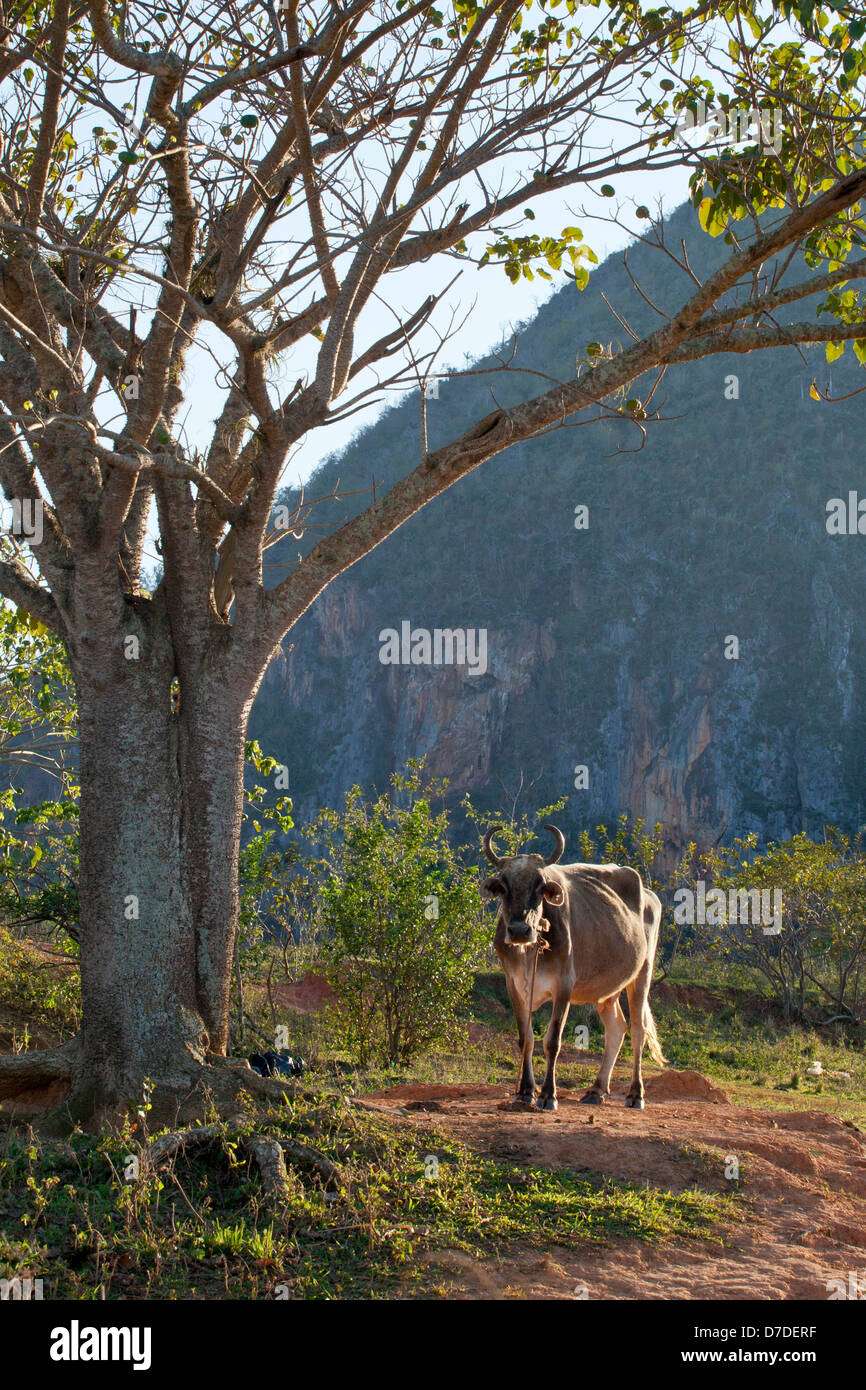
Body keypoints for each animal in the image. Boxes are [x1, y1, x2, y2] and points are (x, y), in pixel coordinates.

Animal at [482, 824, 666, 1111]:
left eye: (540, 887)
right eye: (503, 887)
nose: (520, 931)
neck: (530, 951)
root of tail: (648, 895)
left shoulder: (564, 986)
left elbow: (552, 1041)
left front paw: (548, 1095)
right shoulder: (513, 985)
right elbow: (526, 1039)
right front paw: (525, 1091)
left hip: (642, 973)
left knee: (638, 1030)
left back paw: (636, 1095)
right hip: (608, 989)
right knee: (617, 1029)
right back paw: (597, 1090)